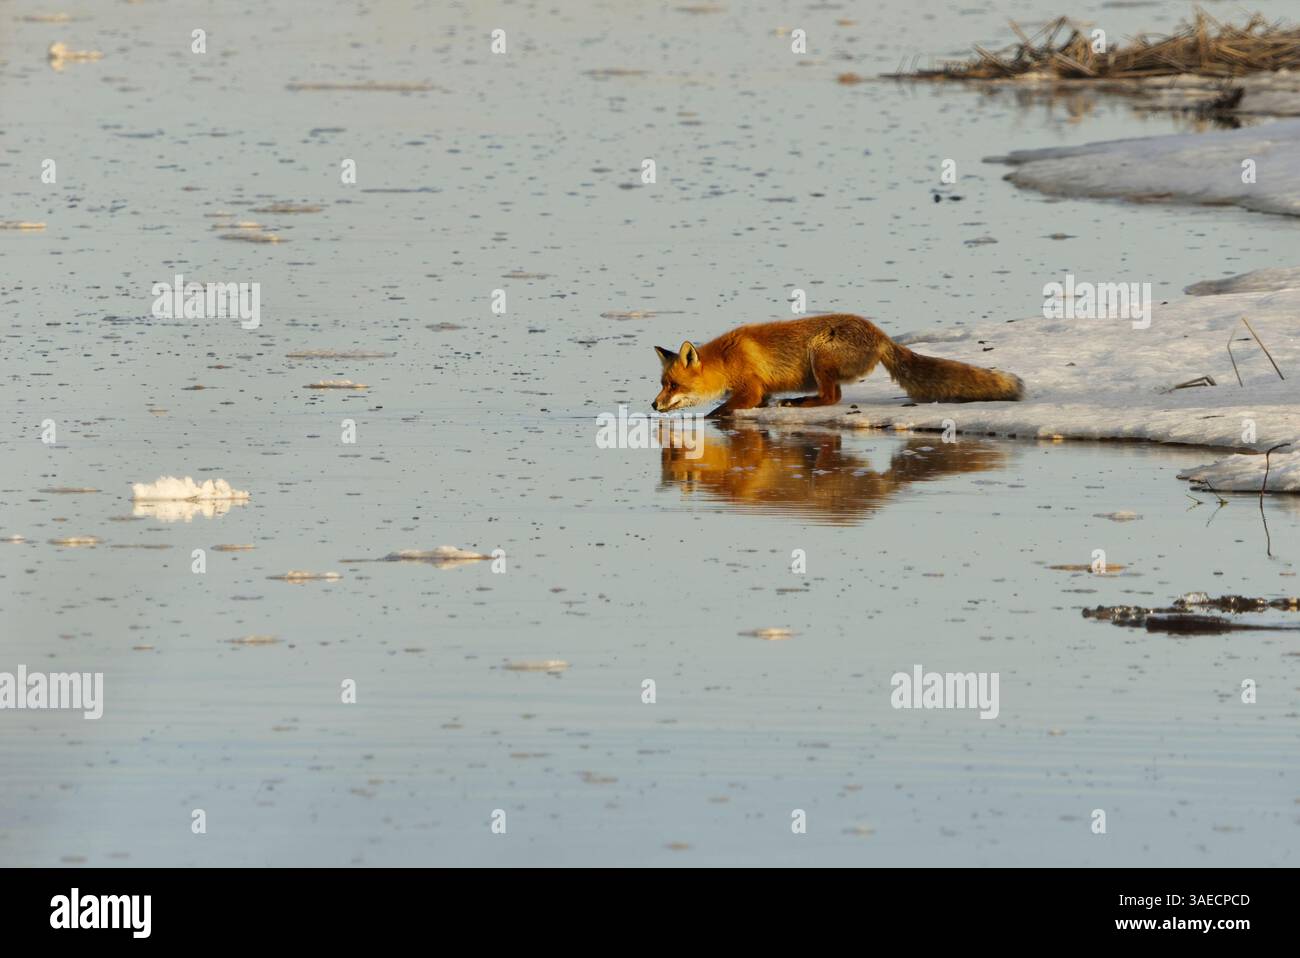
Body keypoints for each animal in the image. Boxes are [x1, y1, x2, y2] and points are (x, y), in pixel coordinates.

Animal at [652, 314, 1023, 417]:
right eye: (662, 383)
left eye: (673, 385)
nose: (653, 405)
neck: (727, 359)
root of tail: (880, 335)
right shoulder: (761, 392)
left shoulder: (751, 388)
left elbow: (721, 411)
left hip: (821, 355)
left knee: (833, 397)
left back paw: (800, 403)